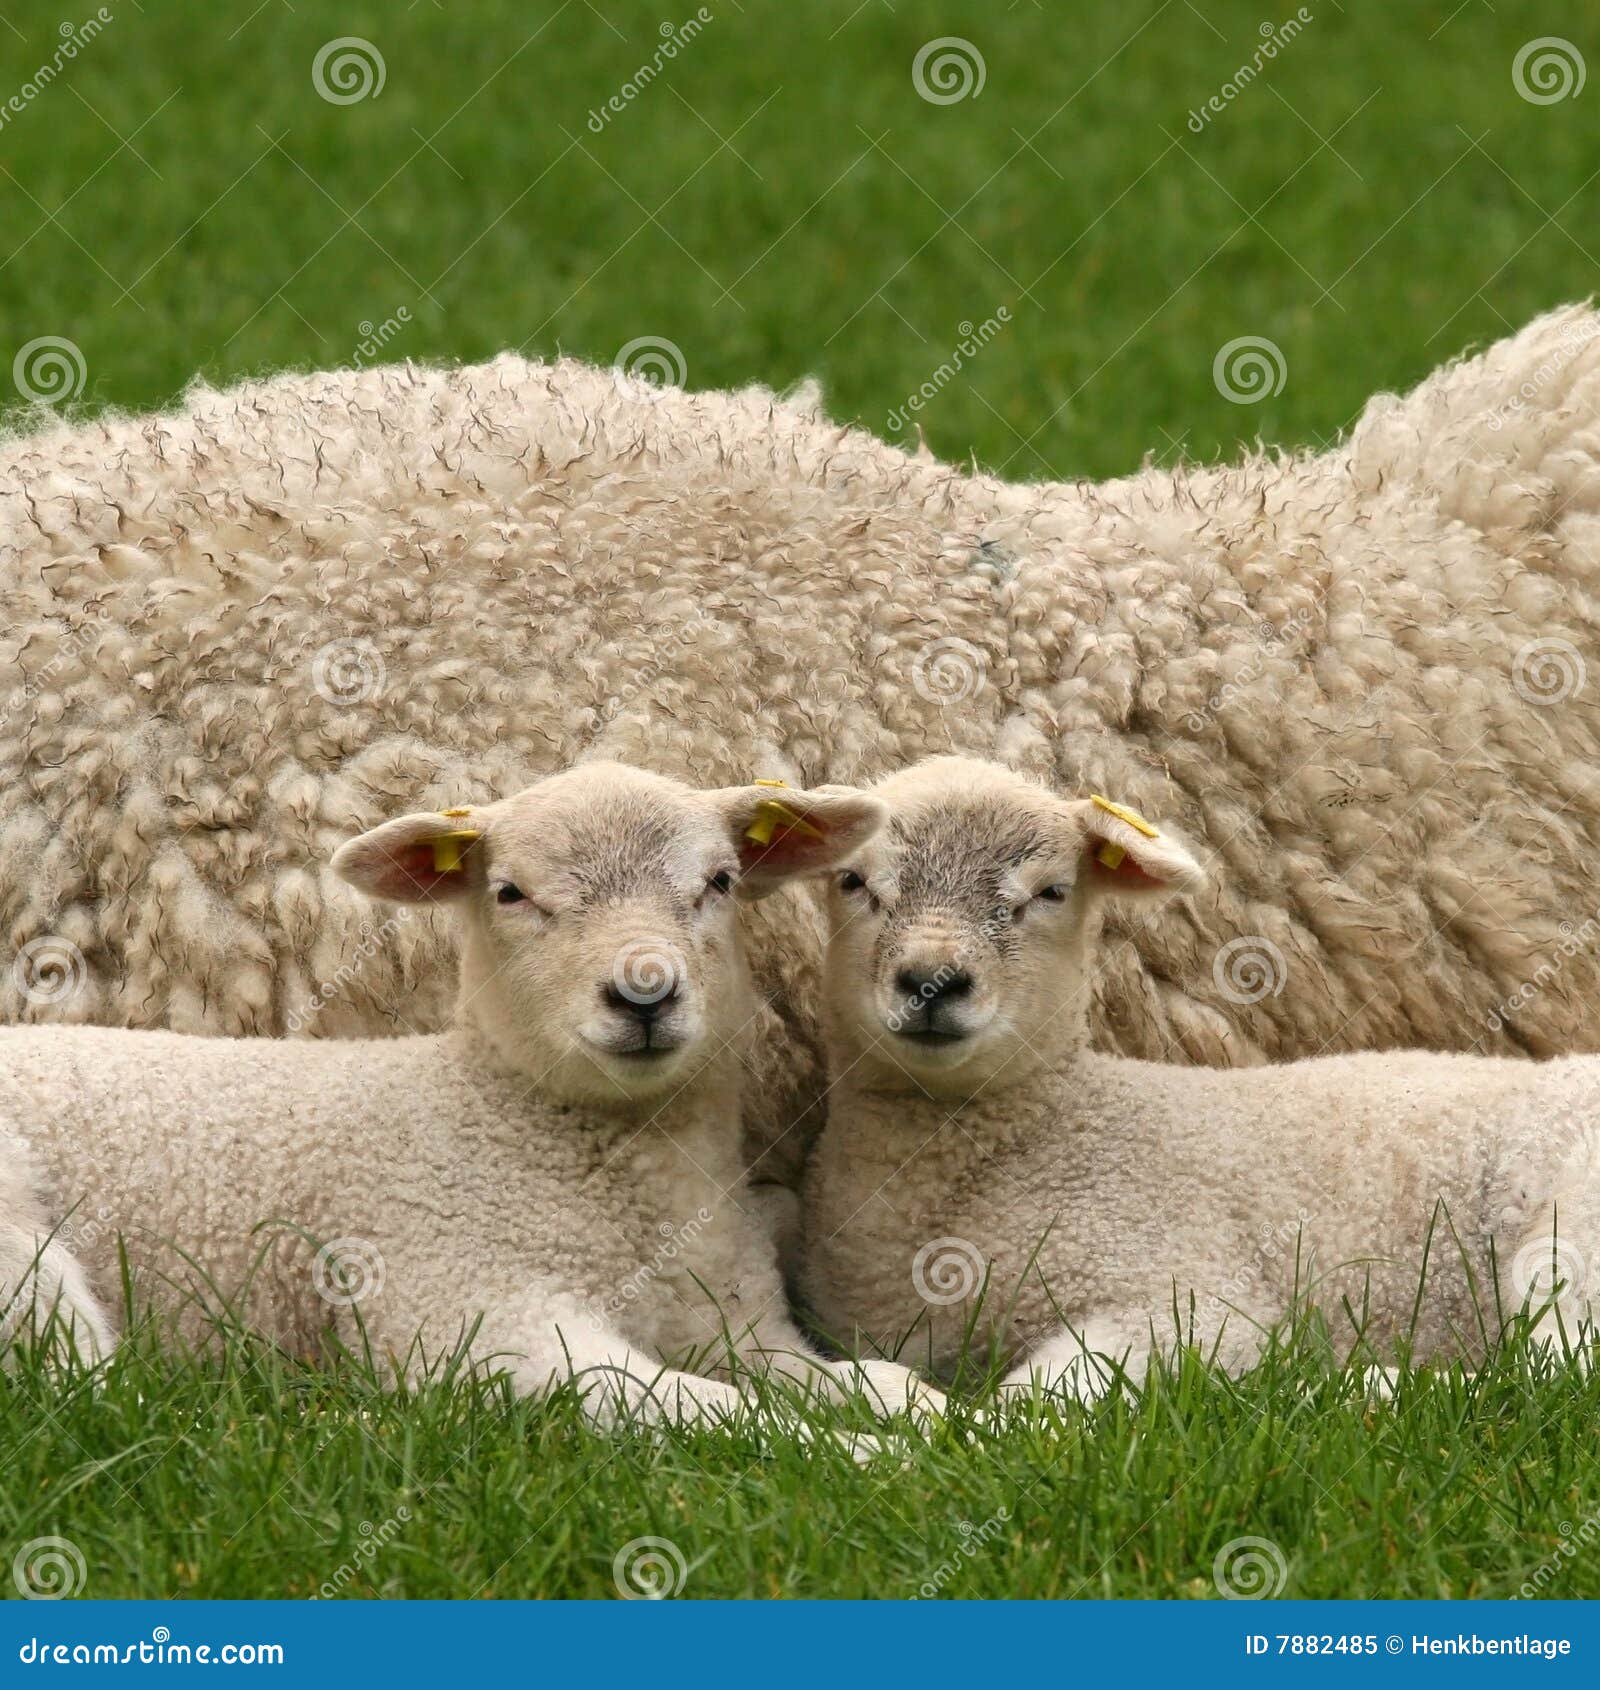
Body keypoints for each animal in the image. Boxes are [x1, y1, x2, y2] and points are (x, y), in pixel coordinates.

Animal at [0, 760, 945, 1438]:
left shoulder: (735, 1327)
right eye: (511, 893)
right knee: (92, 1403)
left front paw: (947, 1420)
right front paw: (866, 1456)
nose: (644, 992)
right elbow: (704, 1410)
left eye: (718, 881)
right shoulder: (478, 1317)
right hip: (25, 1264)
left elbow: (861, 1381)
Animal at [800, 755, 1600, 1398]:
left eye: (1052, 892)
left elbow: (1033, 1406)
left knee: (1552, 1381)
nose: (932, 982)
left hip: (1571, 1234)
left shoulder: (1186, 1295)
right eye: (853, 882)